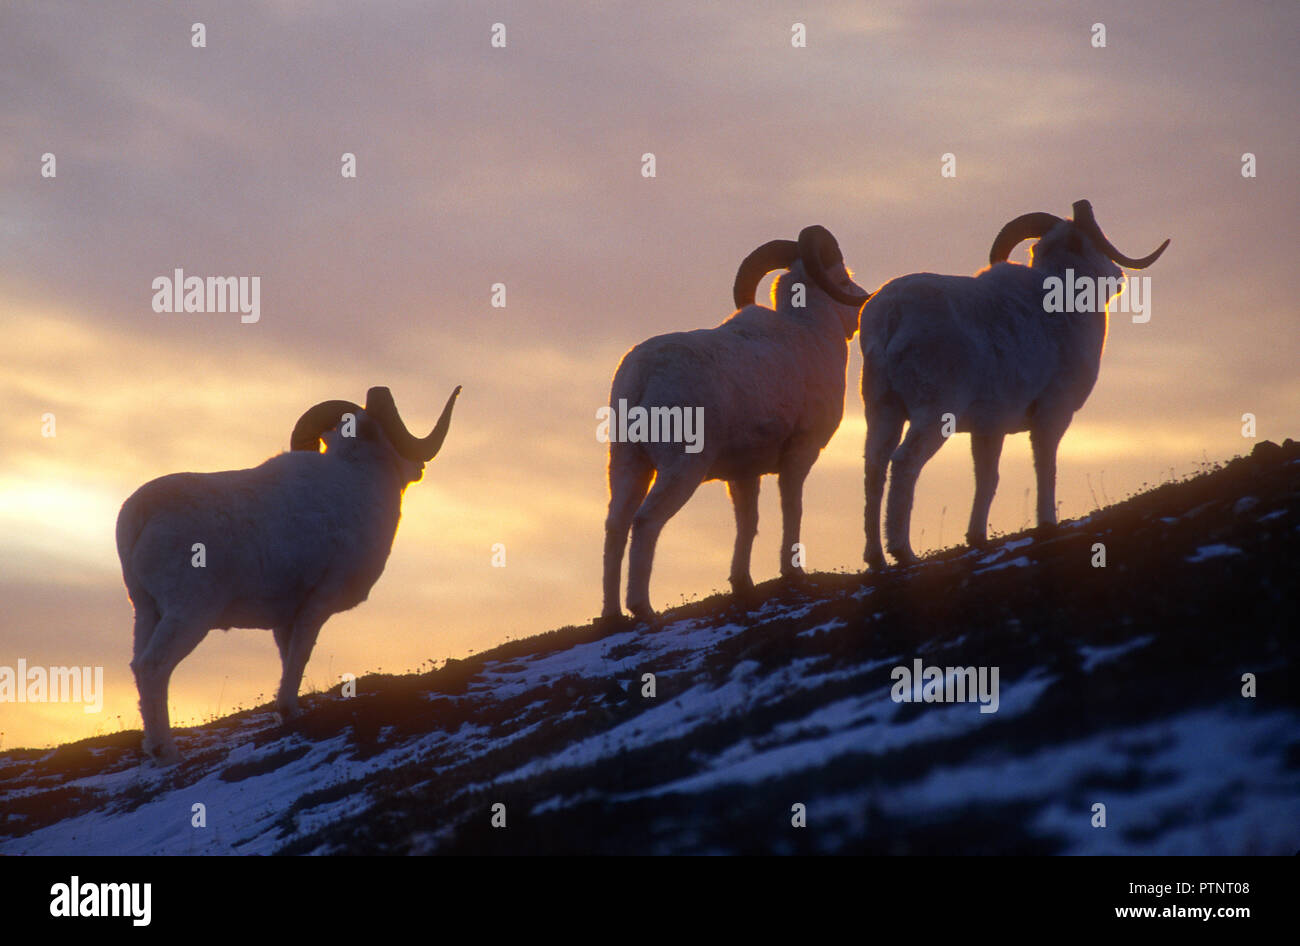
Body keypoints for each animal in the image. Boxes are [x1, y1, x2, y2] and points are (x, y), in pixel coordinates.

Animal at [116, 385, 460, 763]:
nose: (419, 468)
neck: (357, 480)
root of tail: (140, 513)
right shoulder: (316, 604)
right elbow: (300, 655)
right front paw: (289, 711)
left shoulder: (284, 617)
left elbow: (286, 658)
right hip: (189, 615)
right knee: (153, 668)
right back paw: (167, 751)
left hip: (146, 611)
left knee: (138, 665)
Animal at [601, 226, 870, 622]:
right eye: (842, 278)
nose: (861, 307)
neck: (809, 335)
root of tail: (643, 373)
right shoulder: (799, 453)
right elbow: (792, 508)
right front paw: (792, 572)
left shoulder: (744, 473)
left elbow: (748, 522)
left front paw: (742, 583)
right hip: (682, 467)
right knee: (645, 522)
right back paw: (643, 609)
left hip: (629, 464)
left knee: (616, 525)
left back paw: (612, 615)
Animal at [860, 199, 1169, 568]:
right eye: (1093, 242)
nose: (1118, 279)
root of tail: (893, 313)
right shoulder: (1052, 414)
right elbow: (1046, 465)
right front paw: (1047, 523)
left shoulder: (989, 430)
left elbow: (987, 478)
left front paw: (976, 538)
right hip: (933, 414)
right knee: (904, 462)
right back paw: (904, 553)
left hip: (883, 411)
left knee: (874, 467)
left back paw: (877, 559)